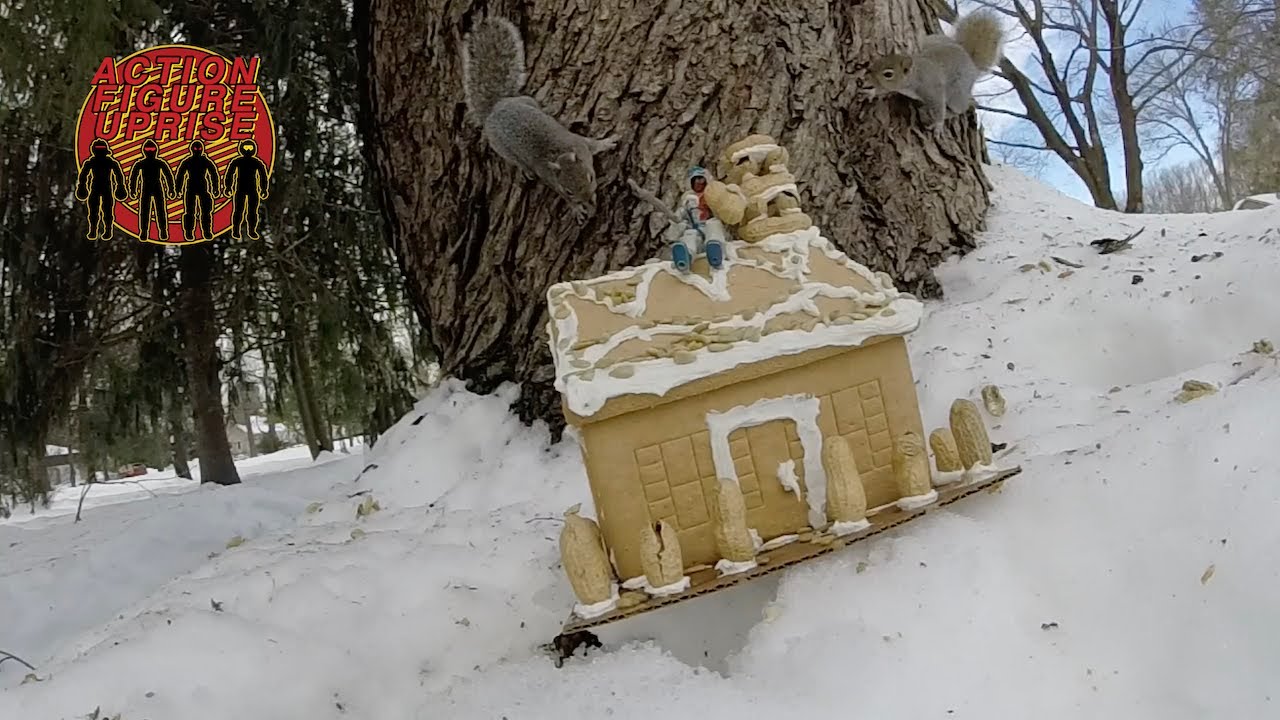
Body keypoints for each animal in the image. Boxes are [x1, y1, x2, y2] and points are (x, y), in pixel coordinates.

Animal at [461, 17, 619, 221]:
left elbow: (592, 144)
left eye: (590, 177)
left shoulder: (579, 143)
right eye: (568, 191)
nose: (587, 198)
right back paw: (525, 170)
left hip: (527, 101)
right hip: (501, 147)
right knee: (517, 162)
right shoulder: (549, 177)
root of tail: (494, 109)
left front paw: (606, 143)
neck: (559, 154)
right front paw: (576, 209)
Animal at [866, 10, 1005, 134]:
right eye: (880, 59)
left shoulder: (931, 89)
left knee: (960, 107)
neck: (913, 77)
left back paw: (960, 108)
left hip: (956, 91)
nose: (869, 73)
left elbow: (938, 106)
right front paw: (872, 92)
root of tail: (971, 64)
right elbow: (883, 89)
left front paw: (937, 125)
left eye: (888, 74)